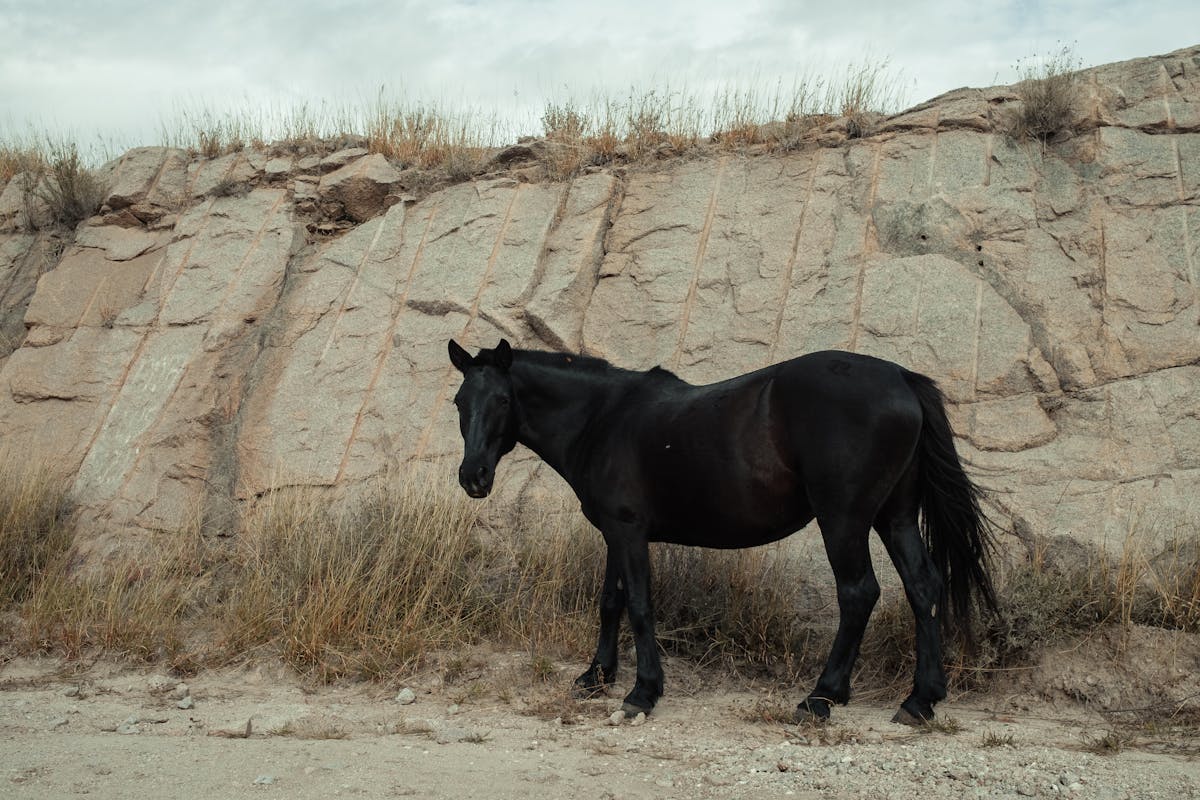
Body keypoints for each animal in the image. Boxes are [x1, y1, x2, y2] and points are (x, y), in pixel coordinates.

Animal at [447, 338, 996, 725]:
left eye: (503, 399)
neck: (604, 418)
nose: (473, 476)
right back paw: (920, 700)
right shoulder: (613, 534)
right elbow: (611, 601)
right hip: (894, 516)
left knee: (859, 593)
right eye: (459, 401)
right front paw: (595, 676)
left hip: (844, 520)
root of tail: (900, 377)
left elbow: (640, 606)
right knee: (923, 586)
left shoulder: (628, 533)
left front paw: (642, 692)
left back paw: (821, 697)